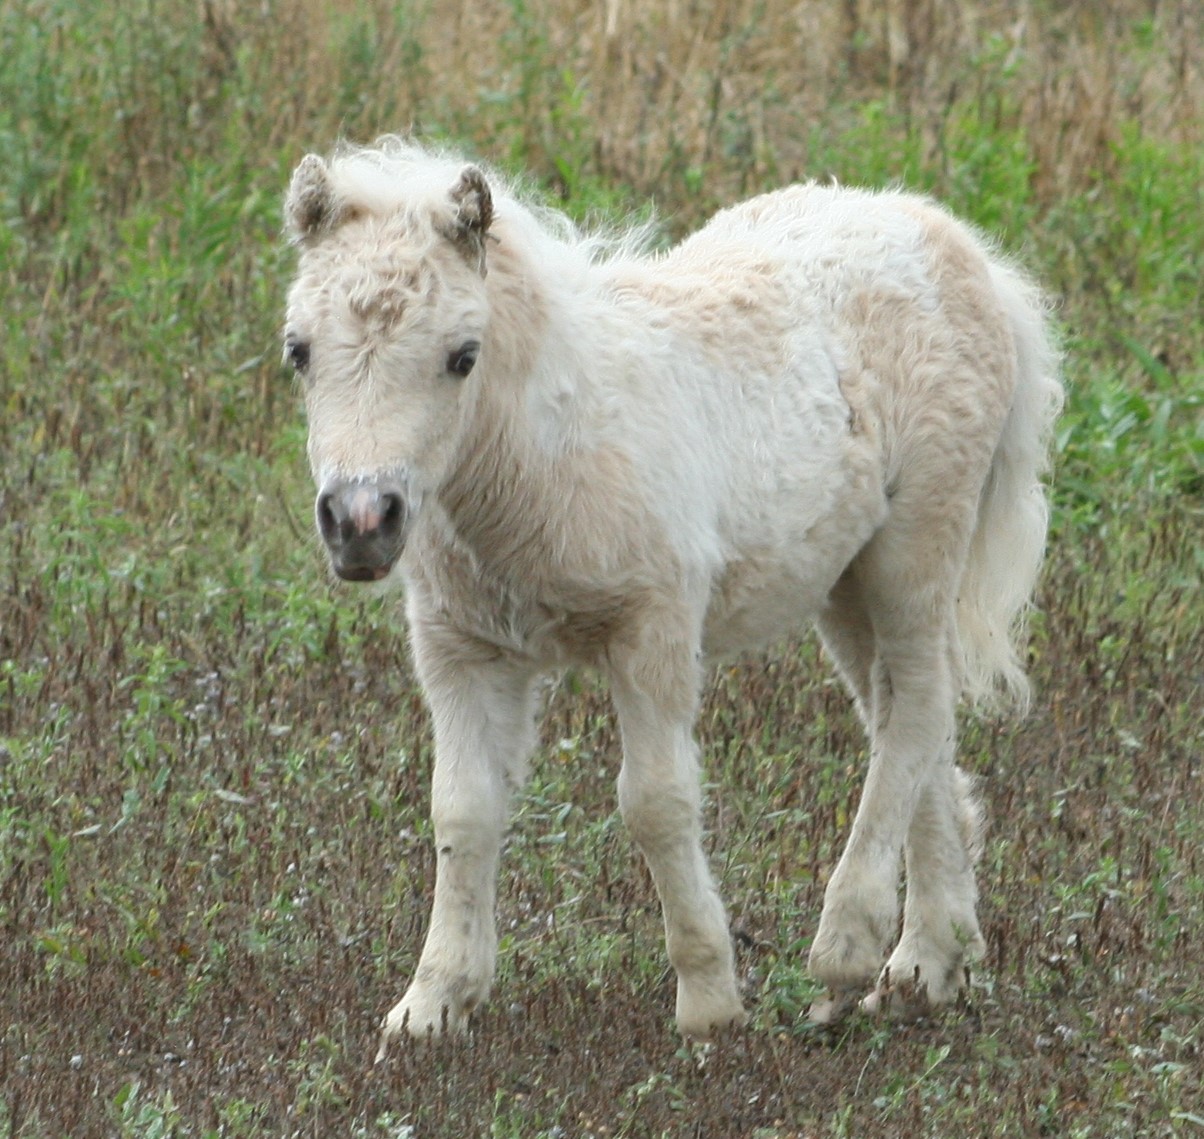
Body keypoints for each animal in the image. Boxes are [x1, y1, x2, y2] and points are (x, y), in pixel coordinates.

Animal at [281, 137, 1061, 1057]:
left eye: (461, 355)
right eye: (299, 350)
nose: (361, 520)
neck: (544, 454)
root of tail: (961, 247)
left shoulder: (651, 626)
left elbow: (655, 801)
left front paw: (709, 1000)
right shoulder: (462, 646)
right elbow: (462, 810)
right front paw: (431, 1004)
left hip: (918, 541)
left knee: (914, 710)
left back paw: (847, 946)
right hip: (844, 577)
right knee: (907, 709)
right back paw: (926, 965)